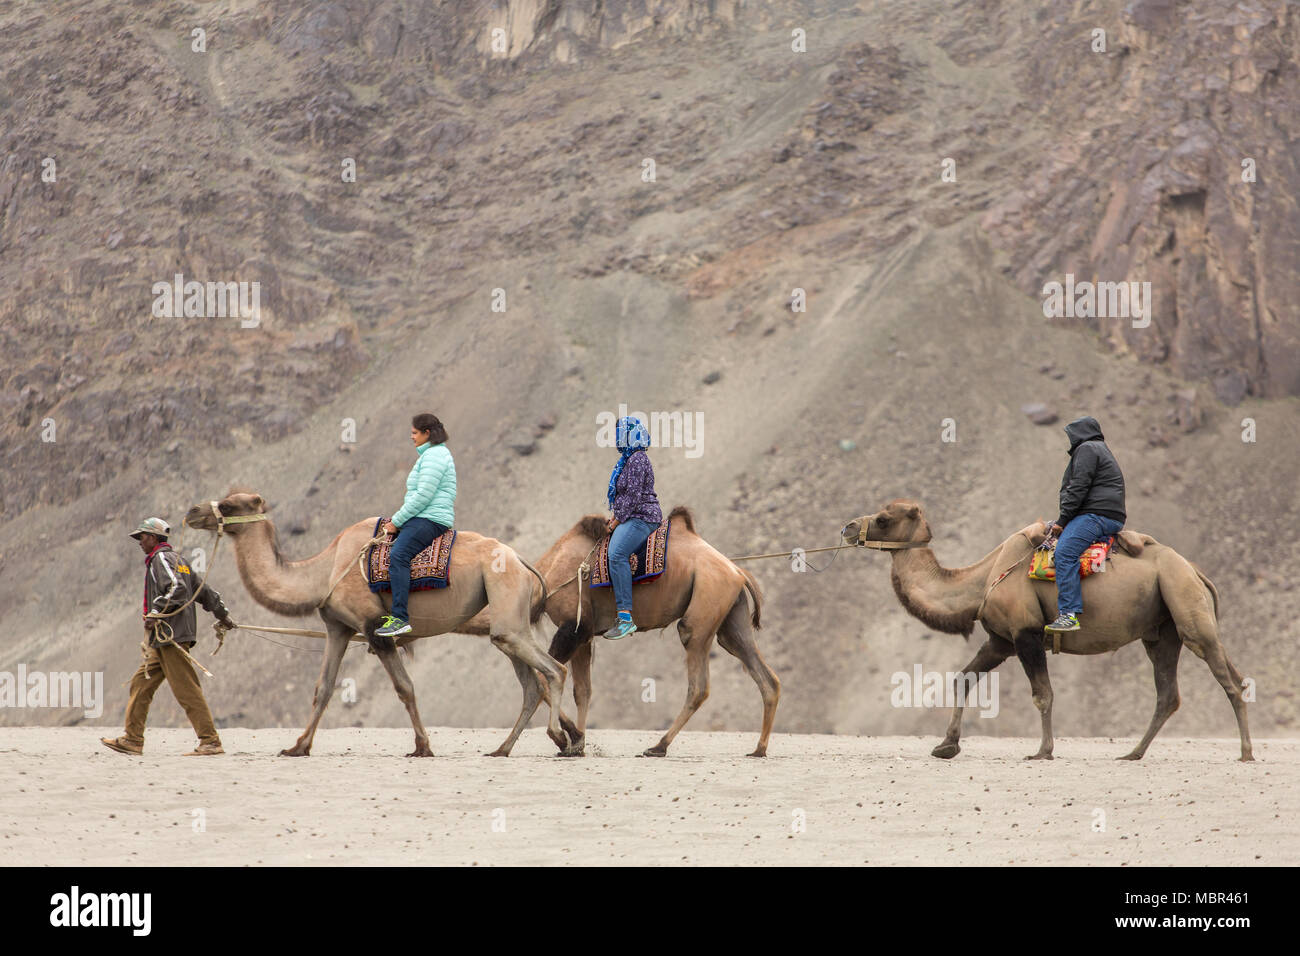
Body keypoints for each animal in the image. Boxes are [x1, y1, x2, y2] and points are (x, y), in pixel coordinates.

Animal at [182, 490, 571, 758]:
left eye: (229, 505)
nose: (192, 511)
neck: (325, 570)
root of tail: (521, 559)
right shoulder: (338, 628)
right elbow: (323, 688)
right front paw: (298, 747)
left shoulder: (374, 628)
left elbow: (405, 687)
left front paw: (422, 746)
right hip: (510, 620)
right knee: (531, 683)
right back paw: (504, 748)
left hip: (507, 598)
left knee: (554, 670)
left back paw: (561, 739)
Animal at [471, 507, 780, 758]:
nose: (498, 637)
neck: (548, 578)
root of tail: (738, 571)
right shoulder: (584, 634)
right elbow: (582, 690)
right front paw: (576, 745)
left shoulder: (572, 628)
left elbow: (548, 677)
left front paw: (567, 739)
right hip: (731, 617)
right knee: (765, 676)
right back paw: (759, 749)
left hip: (704, 606)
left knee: (698, 683)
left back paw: (658, 746)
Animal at [841, 499, 1252, 762]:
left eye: (883, 518)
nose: (847, 527)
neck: (982, 578)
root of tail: (1194, 570)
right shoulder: (1000, 641)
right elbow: (963, 678)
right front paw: (946, 745)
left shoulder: (1026, 634)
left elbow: (1043, 695)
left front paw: (1043, 751)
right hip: (1162, 630)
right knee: (1172, 692)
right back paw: (1133, 753)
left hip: (1186, 606)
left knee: (1228, 679)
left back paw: (1246, 753)